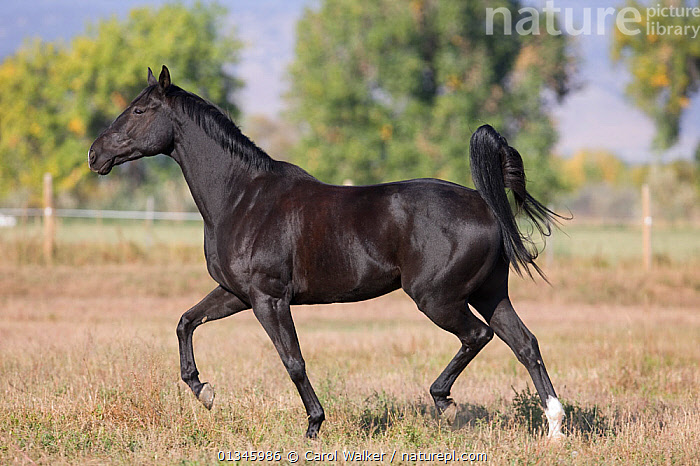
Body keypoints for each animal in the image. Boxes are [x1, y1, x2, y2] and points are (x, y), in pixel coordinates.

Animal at [89, 66, 566, 439]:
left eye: (139, 110)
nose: (95, 155)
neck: (242, 198)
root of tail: (485, 204)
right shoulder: (237, 294)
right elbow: (186, 322)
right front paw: (204, 391)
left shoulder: (268, 299)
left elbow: (293, 361)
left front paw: (314, 425)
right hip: (489, 293)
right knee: (526, 344)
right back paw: (555, 429)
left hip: (438, 298)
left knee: (479, 337)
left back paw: (444, 402)